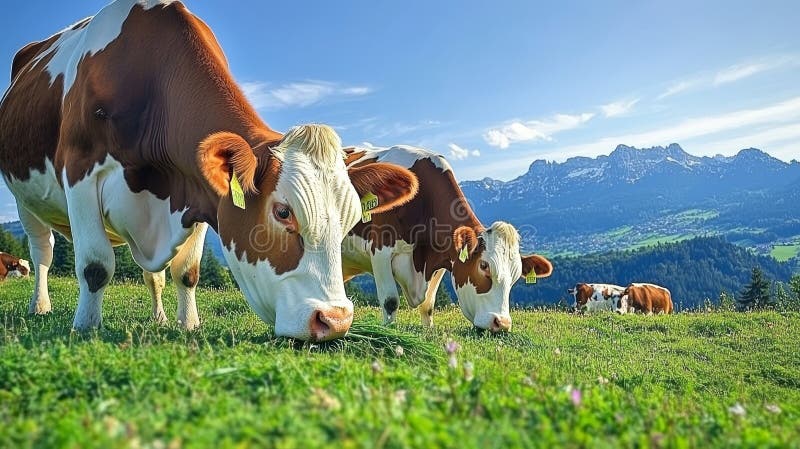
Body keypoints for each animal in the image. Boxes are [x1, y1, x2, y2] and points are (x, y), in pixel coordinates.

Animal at [0, 0, 418, 341]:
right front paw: (86, 327)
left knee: (152, 273)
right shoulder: (80, 170)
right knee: (42, 252)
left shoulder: (196, 192)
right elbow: (95, 265)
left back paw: (159, 317)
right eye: (283, 212)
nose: (335, 321)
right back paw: (40, 307)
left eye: (351, 221)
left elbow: (187, 271)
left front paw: (187, 324)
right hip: (25, 200)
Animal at [342, 145, 553, 332]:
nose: (502, 324)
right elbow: (390, 301)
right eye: (484, 266)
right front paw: (388, 332)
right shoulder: (380, 250)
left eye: (516, 276)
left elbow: (428, 305)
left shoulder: (440, 259)